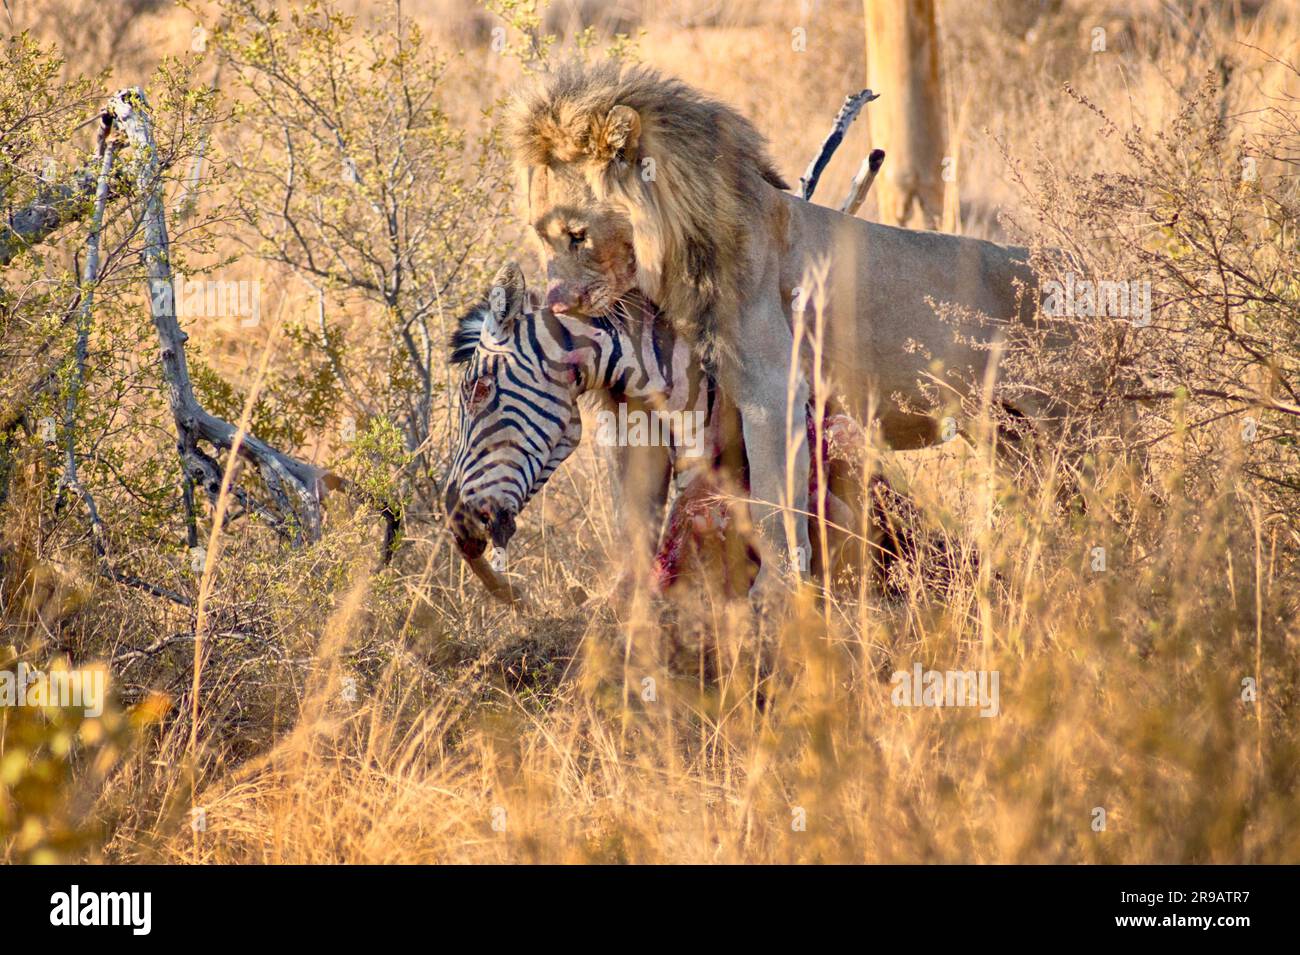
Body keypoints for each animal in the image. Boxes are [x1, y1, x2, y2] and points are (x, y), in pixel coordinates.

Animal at [510, 62, 1046, 597]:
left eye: (577, 235)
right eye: (539, 234)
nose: (557, 302)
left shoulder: (772, 392)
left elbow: (772, 505)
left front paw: (776, 593)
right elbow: (640, 511)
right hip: (1010, 439)